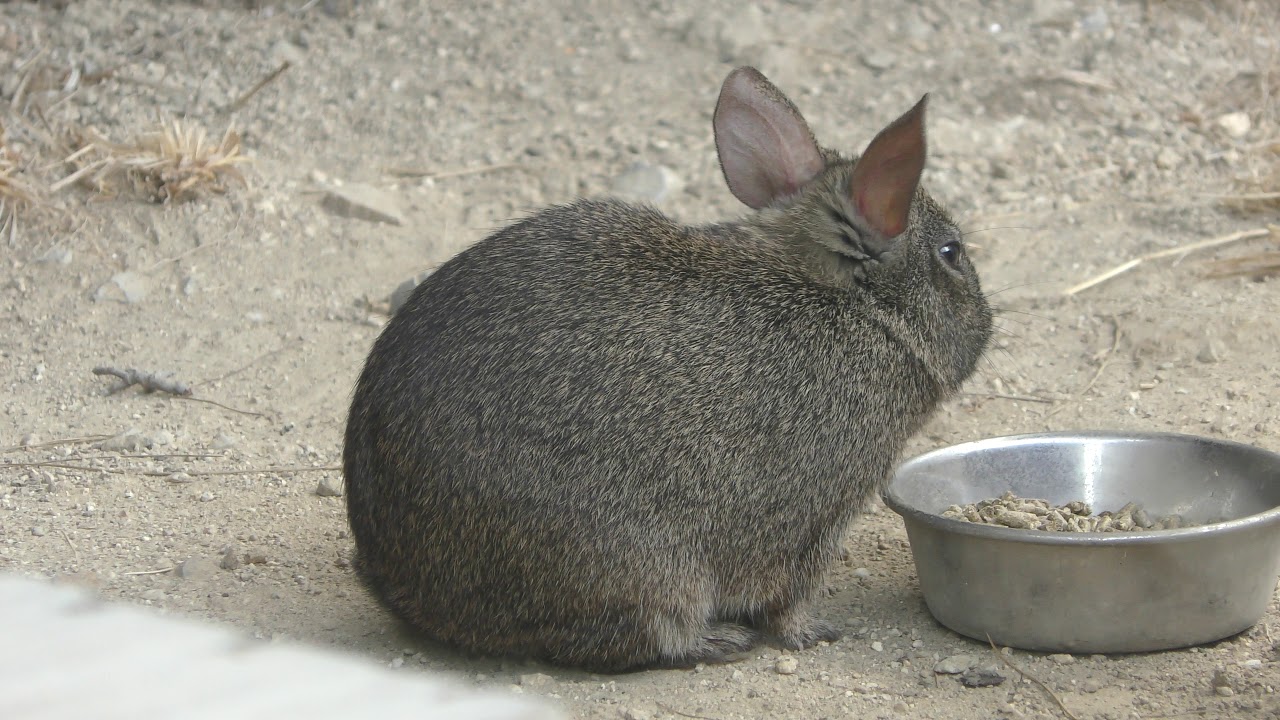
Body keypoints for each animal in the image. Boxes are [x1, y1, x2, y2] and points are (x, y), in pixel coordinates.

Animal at [343, 66, 993, 672]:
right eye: (952, 253)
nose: (988, 326)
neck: (855, 307)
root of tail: (405, 588)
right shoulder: (815, 519)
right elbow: (788, 603)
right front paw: (817, 634)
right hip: (643, 567)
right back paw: (717, 640)